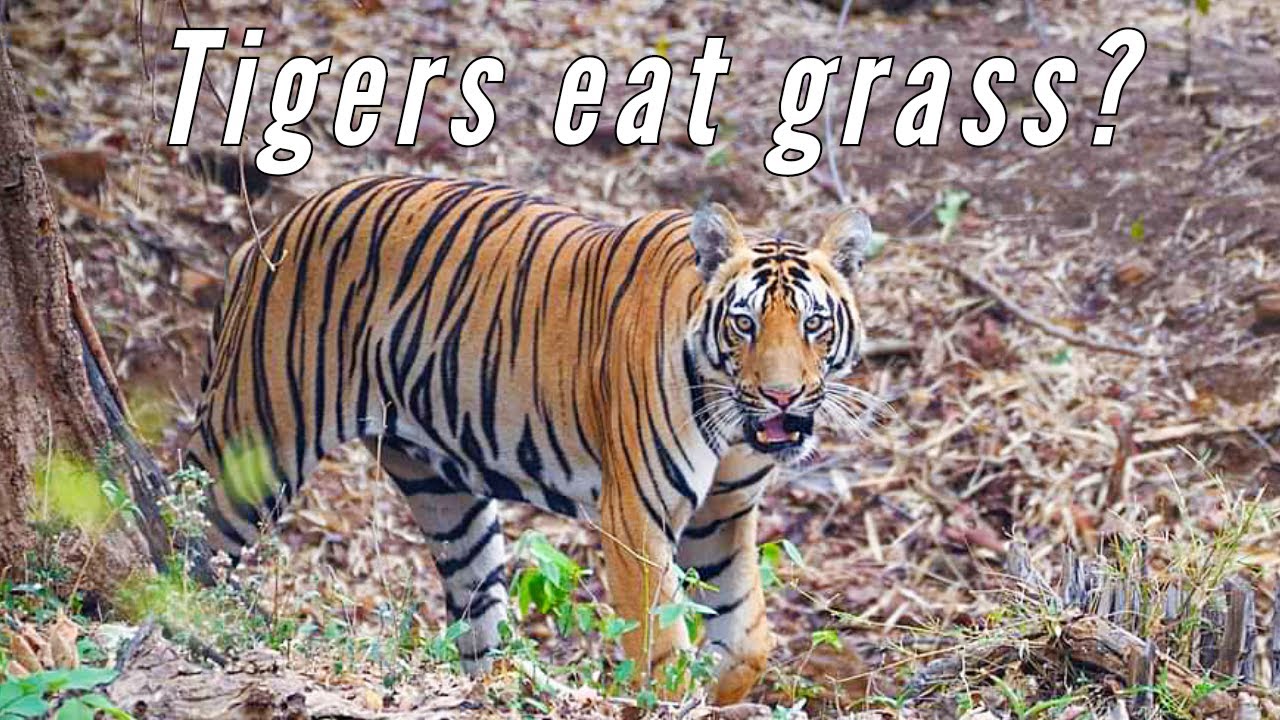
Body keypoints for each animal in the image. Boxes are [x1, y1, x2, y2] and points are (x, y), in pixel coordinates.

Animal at [187, 176, 873, 705]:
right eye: (744, 324)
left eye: (814, 323)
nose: (782, 395)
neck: (733, 428)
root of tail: (264, 236)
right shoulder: (635, 516)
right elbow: (660, 644)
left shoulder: (722, 518)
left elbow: (748, 639)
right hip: (252, 443)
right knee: (188, 538)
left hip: (446, 495)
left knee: (474, 617)